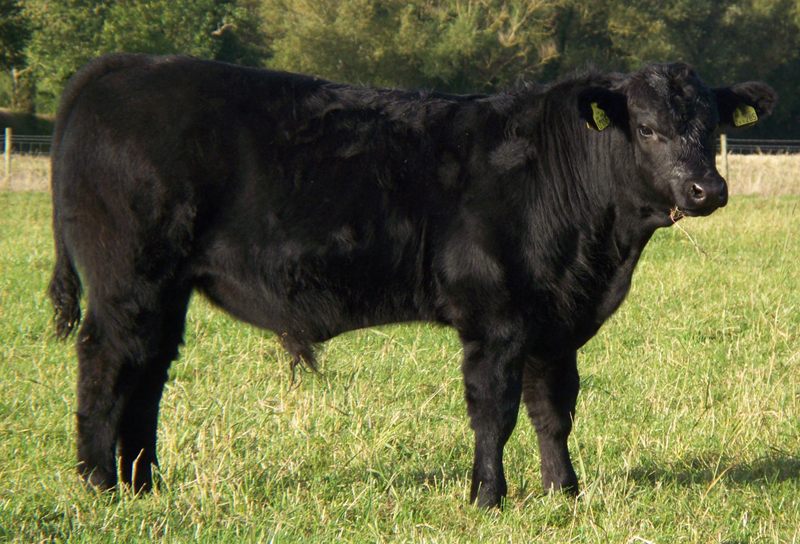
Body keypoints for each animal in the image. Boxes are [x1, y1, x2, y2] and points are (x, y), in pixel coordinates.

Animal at [48, 53, 776, 508]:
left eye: (711, 126)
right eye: (647, 128)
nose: (707, 189)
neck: (599, 252)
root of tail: (128, 65)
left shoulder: (554, 321)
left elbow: (555, 411)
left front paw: (564, 492)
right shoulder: (496, 318)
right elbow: (495, 411)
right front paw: (488, 497)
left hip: (163, 290)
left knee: (147, 372)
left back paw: (145, 482)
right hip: (127, 279)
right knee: (106, 364)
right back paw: (100, 483)